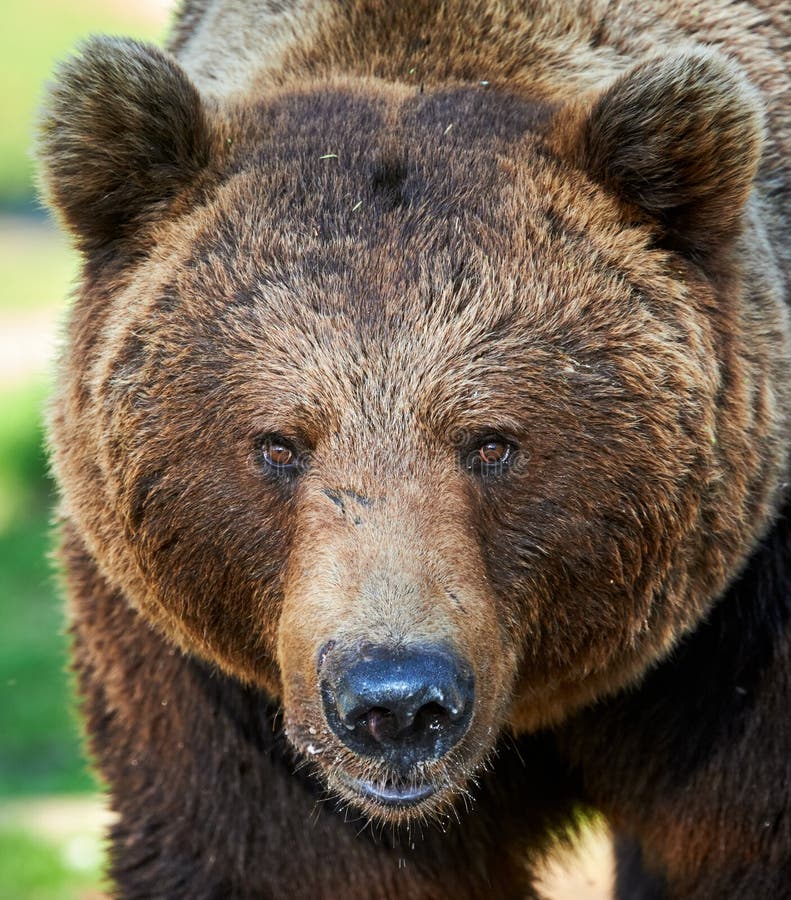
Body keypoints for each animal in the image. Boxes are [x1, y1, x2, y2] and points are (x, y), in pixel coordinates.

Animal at [36, 0, 790, 897]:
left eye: (492, 443)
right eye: (278, 444)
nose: (395, 700)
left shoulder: (735, 650)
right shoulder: (206, 691)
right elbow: (262, 856)